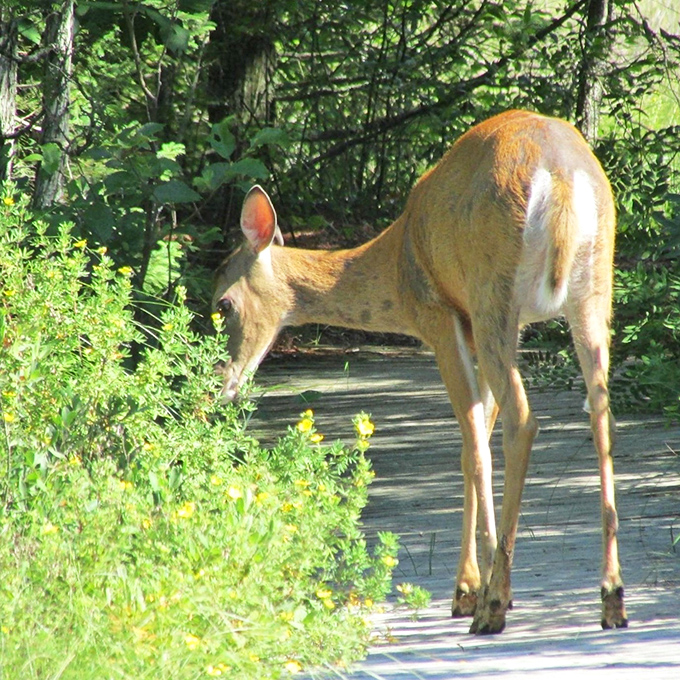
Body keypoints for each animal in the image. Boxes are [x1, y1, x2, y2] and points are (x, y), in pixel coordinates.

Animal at [212, 110, 628, 635]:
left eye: (223, 304)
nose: (220, 385)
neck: (395, 264)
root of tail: (560, 174)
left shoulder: (440, 315)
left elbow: (472, 443)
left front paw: (475, 590)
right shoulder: (495, 328)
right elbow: (474, 441)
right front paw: (467, 587)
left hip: (492, 287)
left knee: (522, 420)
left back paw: (495, 605)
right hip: (593, 287)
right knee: (600, 411)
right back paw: (611, 597)